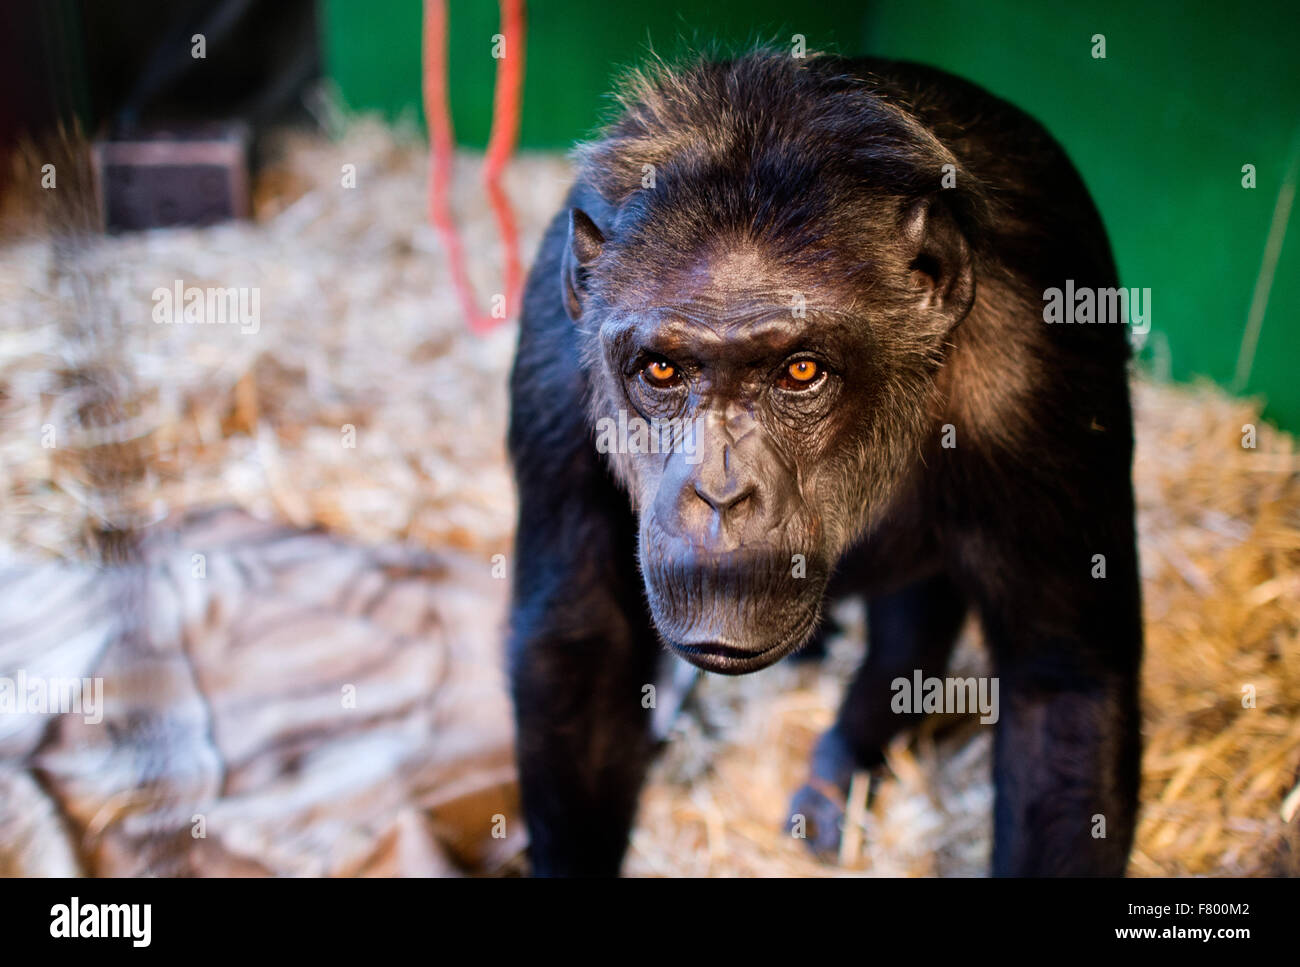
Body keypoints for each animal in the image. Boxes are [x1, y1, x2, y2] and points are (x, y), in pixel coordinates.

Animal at [507, 49, 1142, 877]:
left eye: (801, 371)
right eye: (662, 371)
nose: (721, 494)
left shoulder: (1038, 375)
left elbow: (1063, 692)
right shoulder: (554, 359)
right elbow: (580, 645)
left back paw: (841, 767)